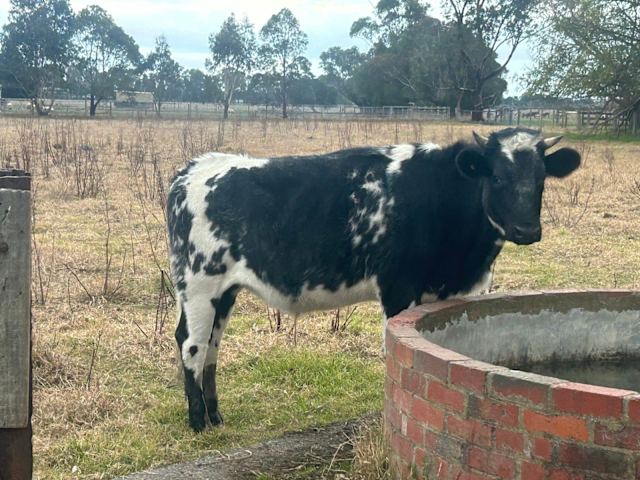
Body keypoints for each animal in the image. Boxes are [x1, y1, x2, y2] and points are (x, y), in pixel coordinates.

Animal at [167, 127, 581, 432]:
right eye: (496, 176)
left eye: (541, 179)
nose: (526, 230)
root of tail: (194, 169)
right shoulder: (398, 288)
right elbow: (394, 353)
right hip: (199, 283)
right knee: (191, 343)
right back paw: (198, 422)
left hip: (225, 292)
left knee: (212, 347)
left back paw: (216, 417)